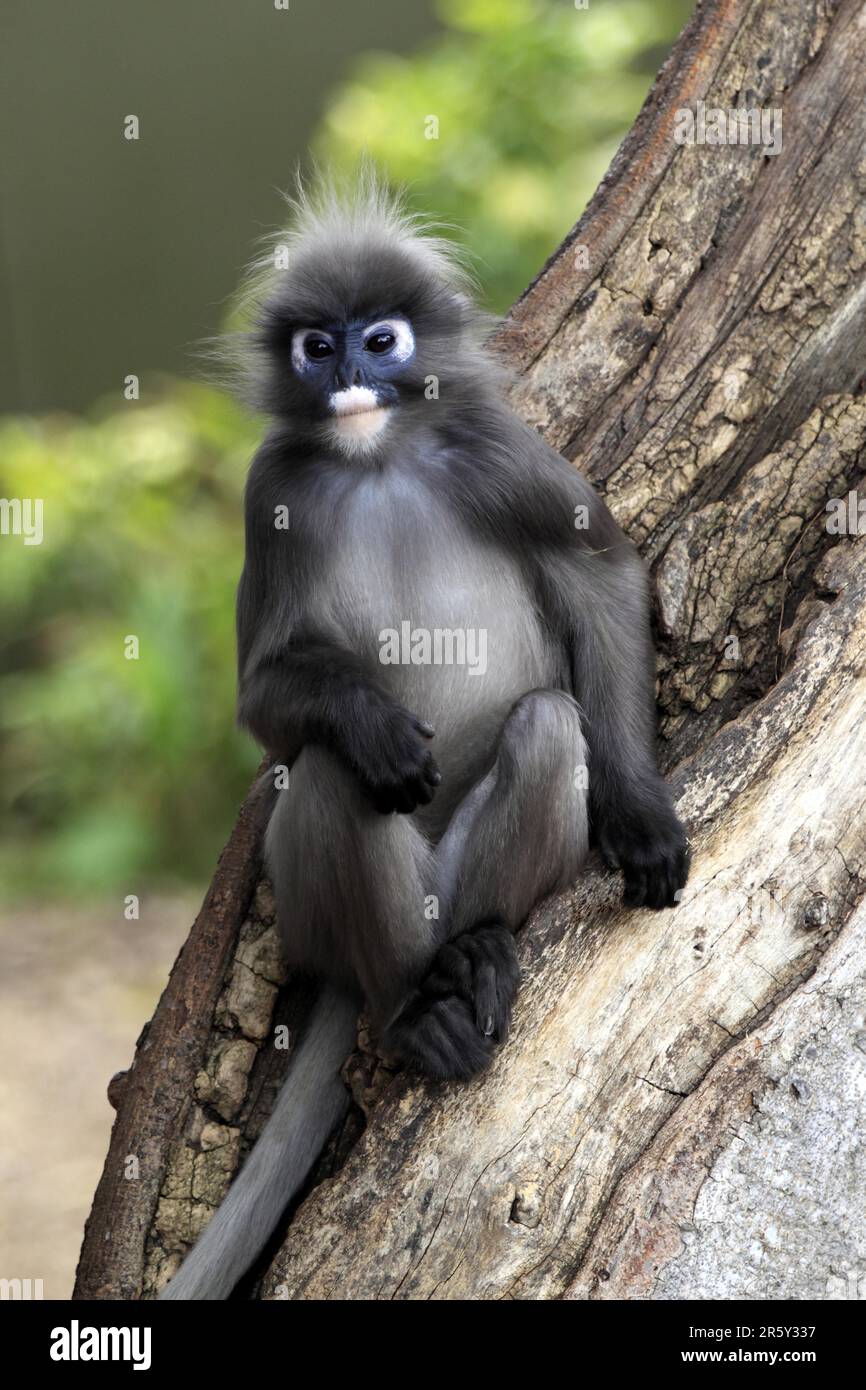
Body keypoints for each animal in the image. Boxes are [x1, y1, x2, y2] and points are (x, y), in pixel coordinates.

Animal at [158, 174, 688, 1300]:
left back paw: (477, 952)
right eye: (318, 346)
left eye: (382, 337)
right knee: (331, 775)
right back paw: (414, 1003)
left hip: (458, 864)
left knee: (546, 725)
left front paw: (640, 813)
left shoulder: (494, 441)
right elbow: (267, 704)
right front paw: (372, 724)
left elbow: (601, 572)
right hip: (326, 904)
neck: (377, 458)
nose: (352, 374)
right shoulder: (270, 487)